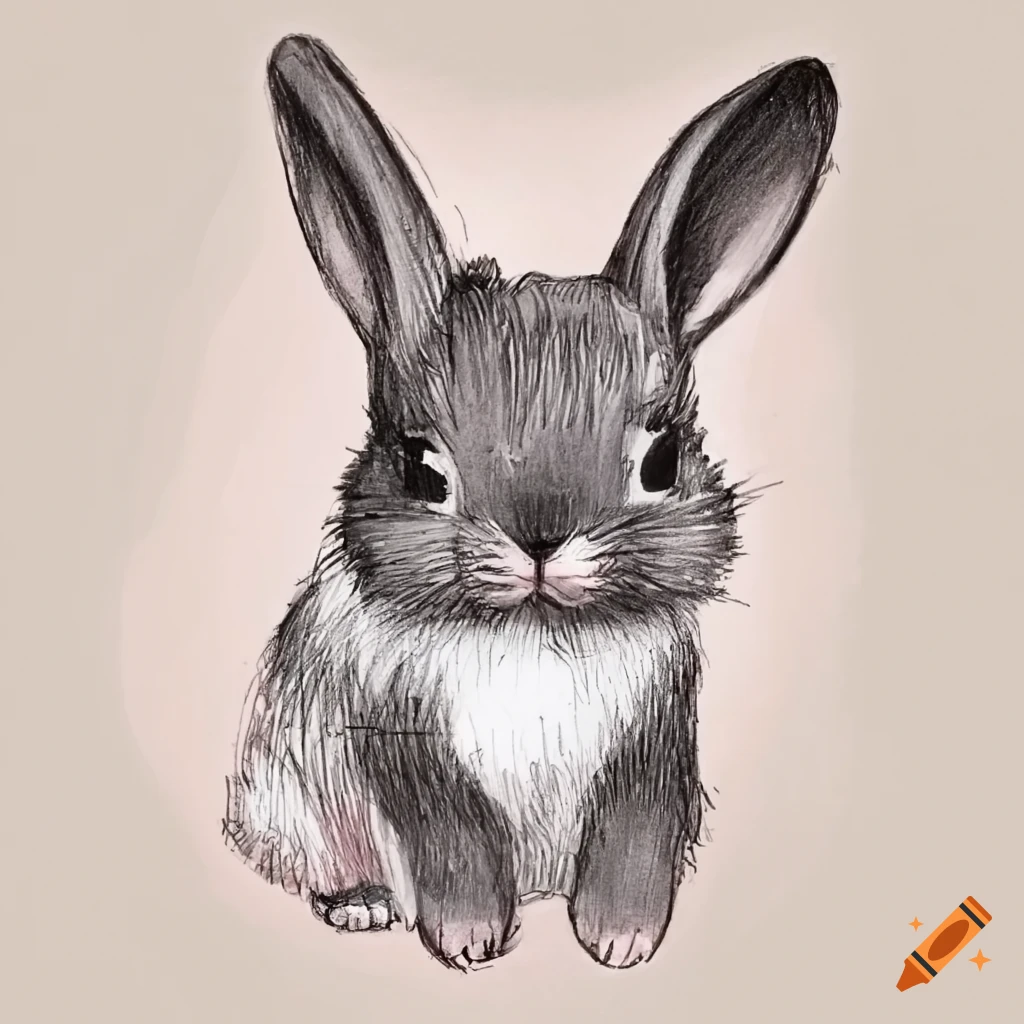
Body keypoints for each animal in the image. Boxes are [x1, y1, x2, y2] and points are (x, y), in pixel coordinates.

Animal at [223, 34, 838, 972]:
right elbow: (454, 842)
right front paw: (471, 941)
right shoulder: (402, 746)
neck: (537, 636)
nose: (541, 541)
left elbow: (633, 842)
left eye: (662, 459)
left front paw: (621, 942)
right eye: (420, 469)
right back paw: (362, 905)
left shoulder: (654, 751)